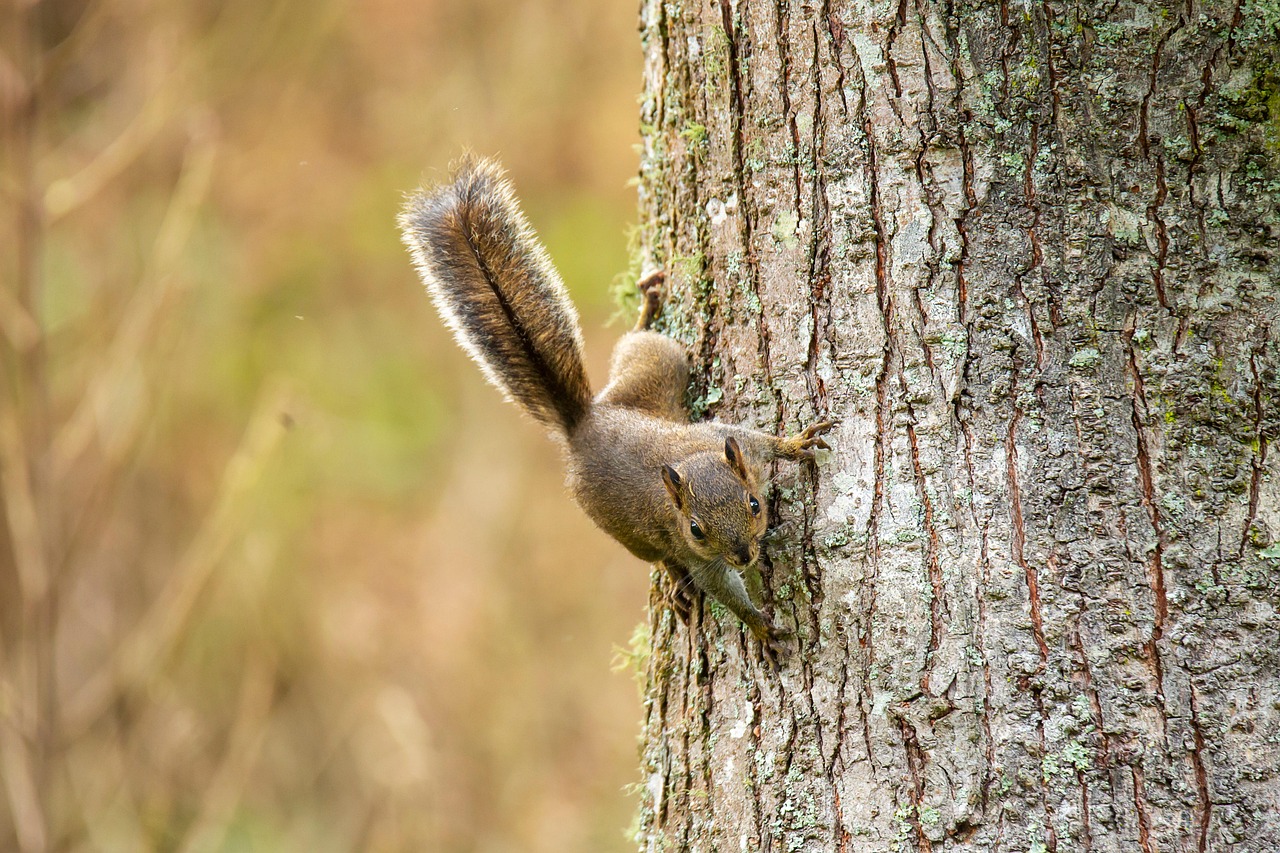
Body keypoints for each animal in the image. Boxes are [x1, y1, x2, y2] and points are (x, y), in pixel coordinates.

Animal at [398, 156, 833, 656]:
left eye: (755, 504)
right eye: (696, 530)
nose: (743, 554)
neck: (691, 459)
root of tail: (581, 425)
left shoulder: (730, 439)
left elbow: (763, 441)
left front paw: (797, 443)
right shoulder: (695, 553)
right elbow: (721, 588)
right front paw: (760, 626)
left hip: (657, 368)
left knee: (639, 345)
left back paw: (648, 308)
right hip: (621, 528)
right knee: (655, 556)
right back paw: (673, 581)